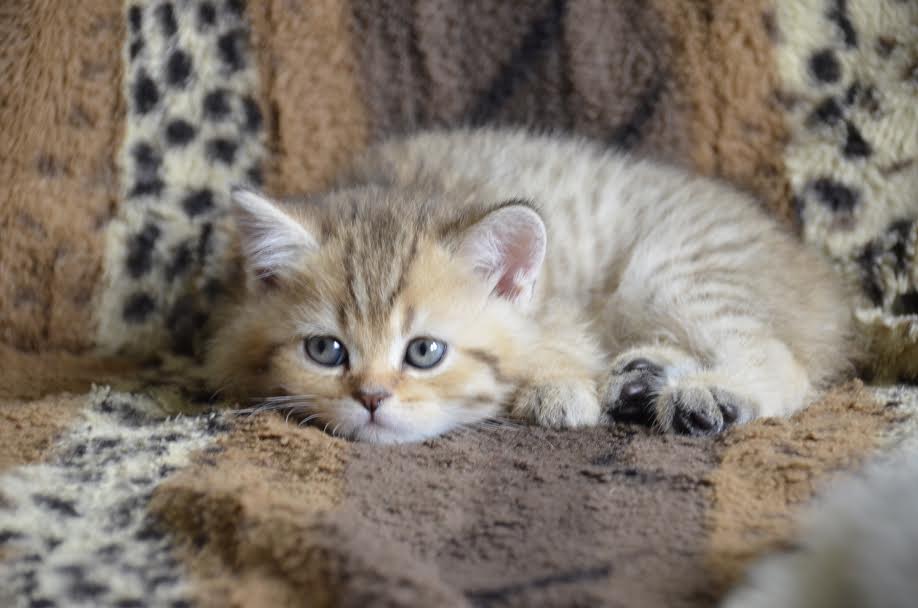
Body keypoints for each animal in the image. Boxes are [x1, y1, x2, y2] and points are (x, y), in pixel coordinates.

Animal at [210, 128, 856, 442]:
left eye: (424, 351)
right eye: (326, 350)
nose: (370, 397)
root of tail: (824, 286)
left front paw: (556, 389)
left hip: (670, 269)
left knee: (781, 361)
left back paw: (707, 396)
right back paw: (641, 377)